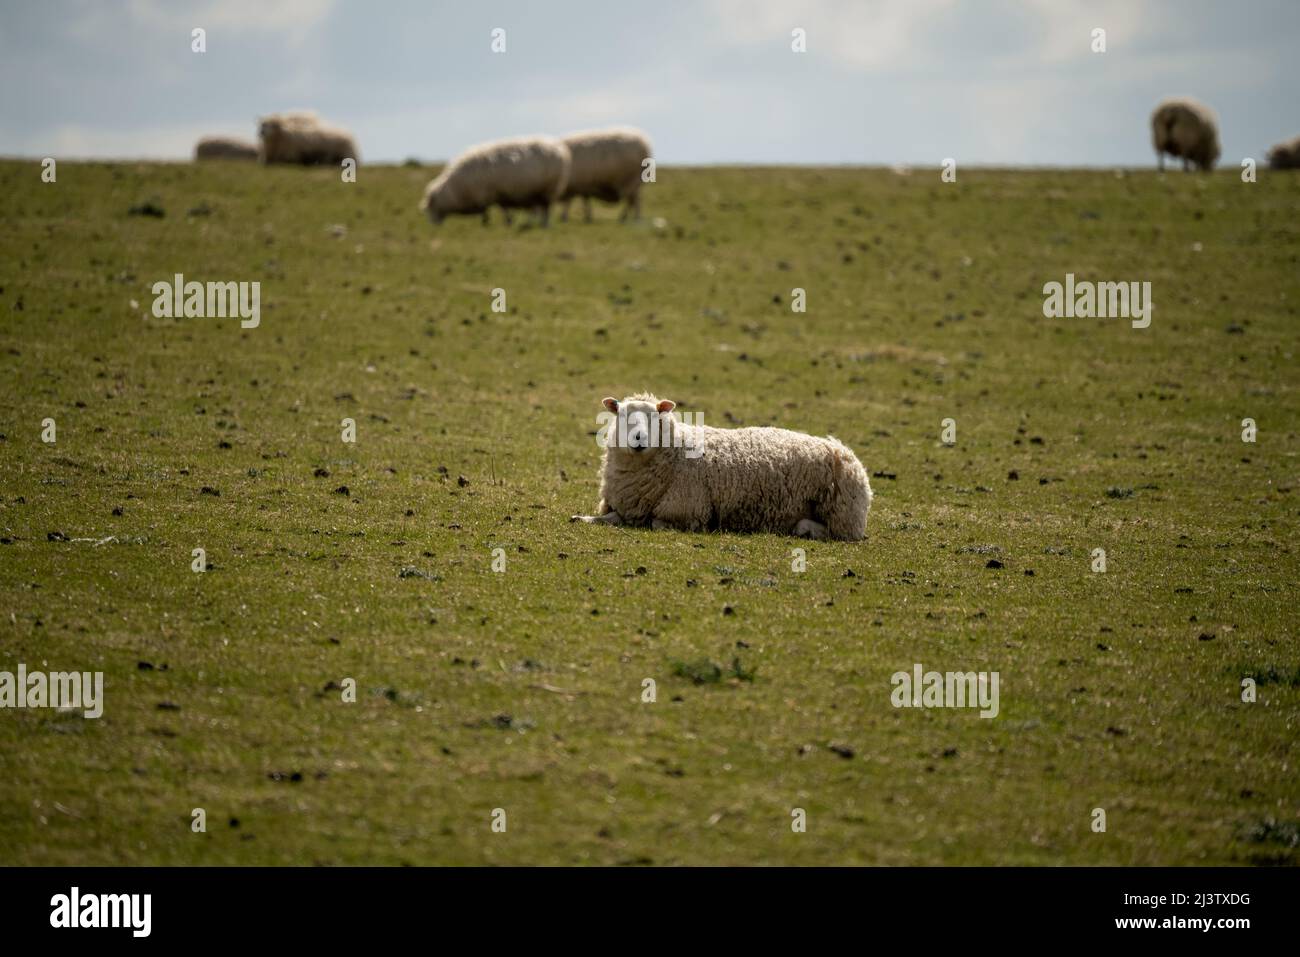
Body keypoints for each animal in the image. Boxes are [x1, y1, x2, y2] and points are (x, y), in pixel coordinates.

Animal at [420, 135, 571, 227]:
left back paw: (545, 224)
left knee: (546, 208)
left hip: (549, 188)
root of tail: (560, 149)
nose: (434, 226)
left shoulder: (483, 194)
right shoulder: (499, 194)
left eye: (432, 207)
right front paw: (508, 222)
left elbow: (485, 212)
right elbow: (504, 210)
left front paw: (485, 224)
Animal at [571, 393, 873, 541]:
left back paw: (803, 528)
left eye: (656, 416)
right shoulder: (624, 507)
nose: (638, 440)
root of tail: (845, 451)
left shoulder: (689, 509)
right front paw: (580, 518)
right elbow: (606, 518)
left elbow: (656, 523)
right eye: (621, 414)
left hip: (843, 513)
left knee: (839, 534)